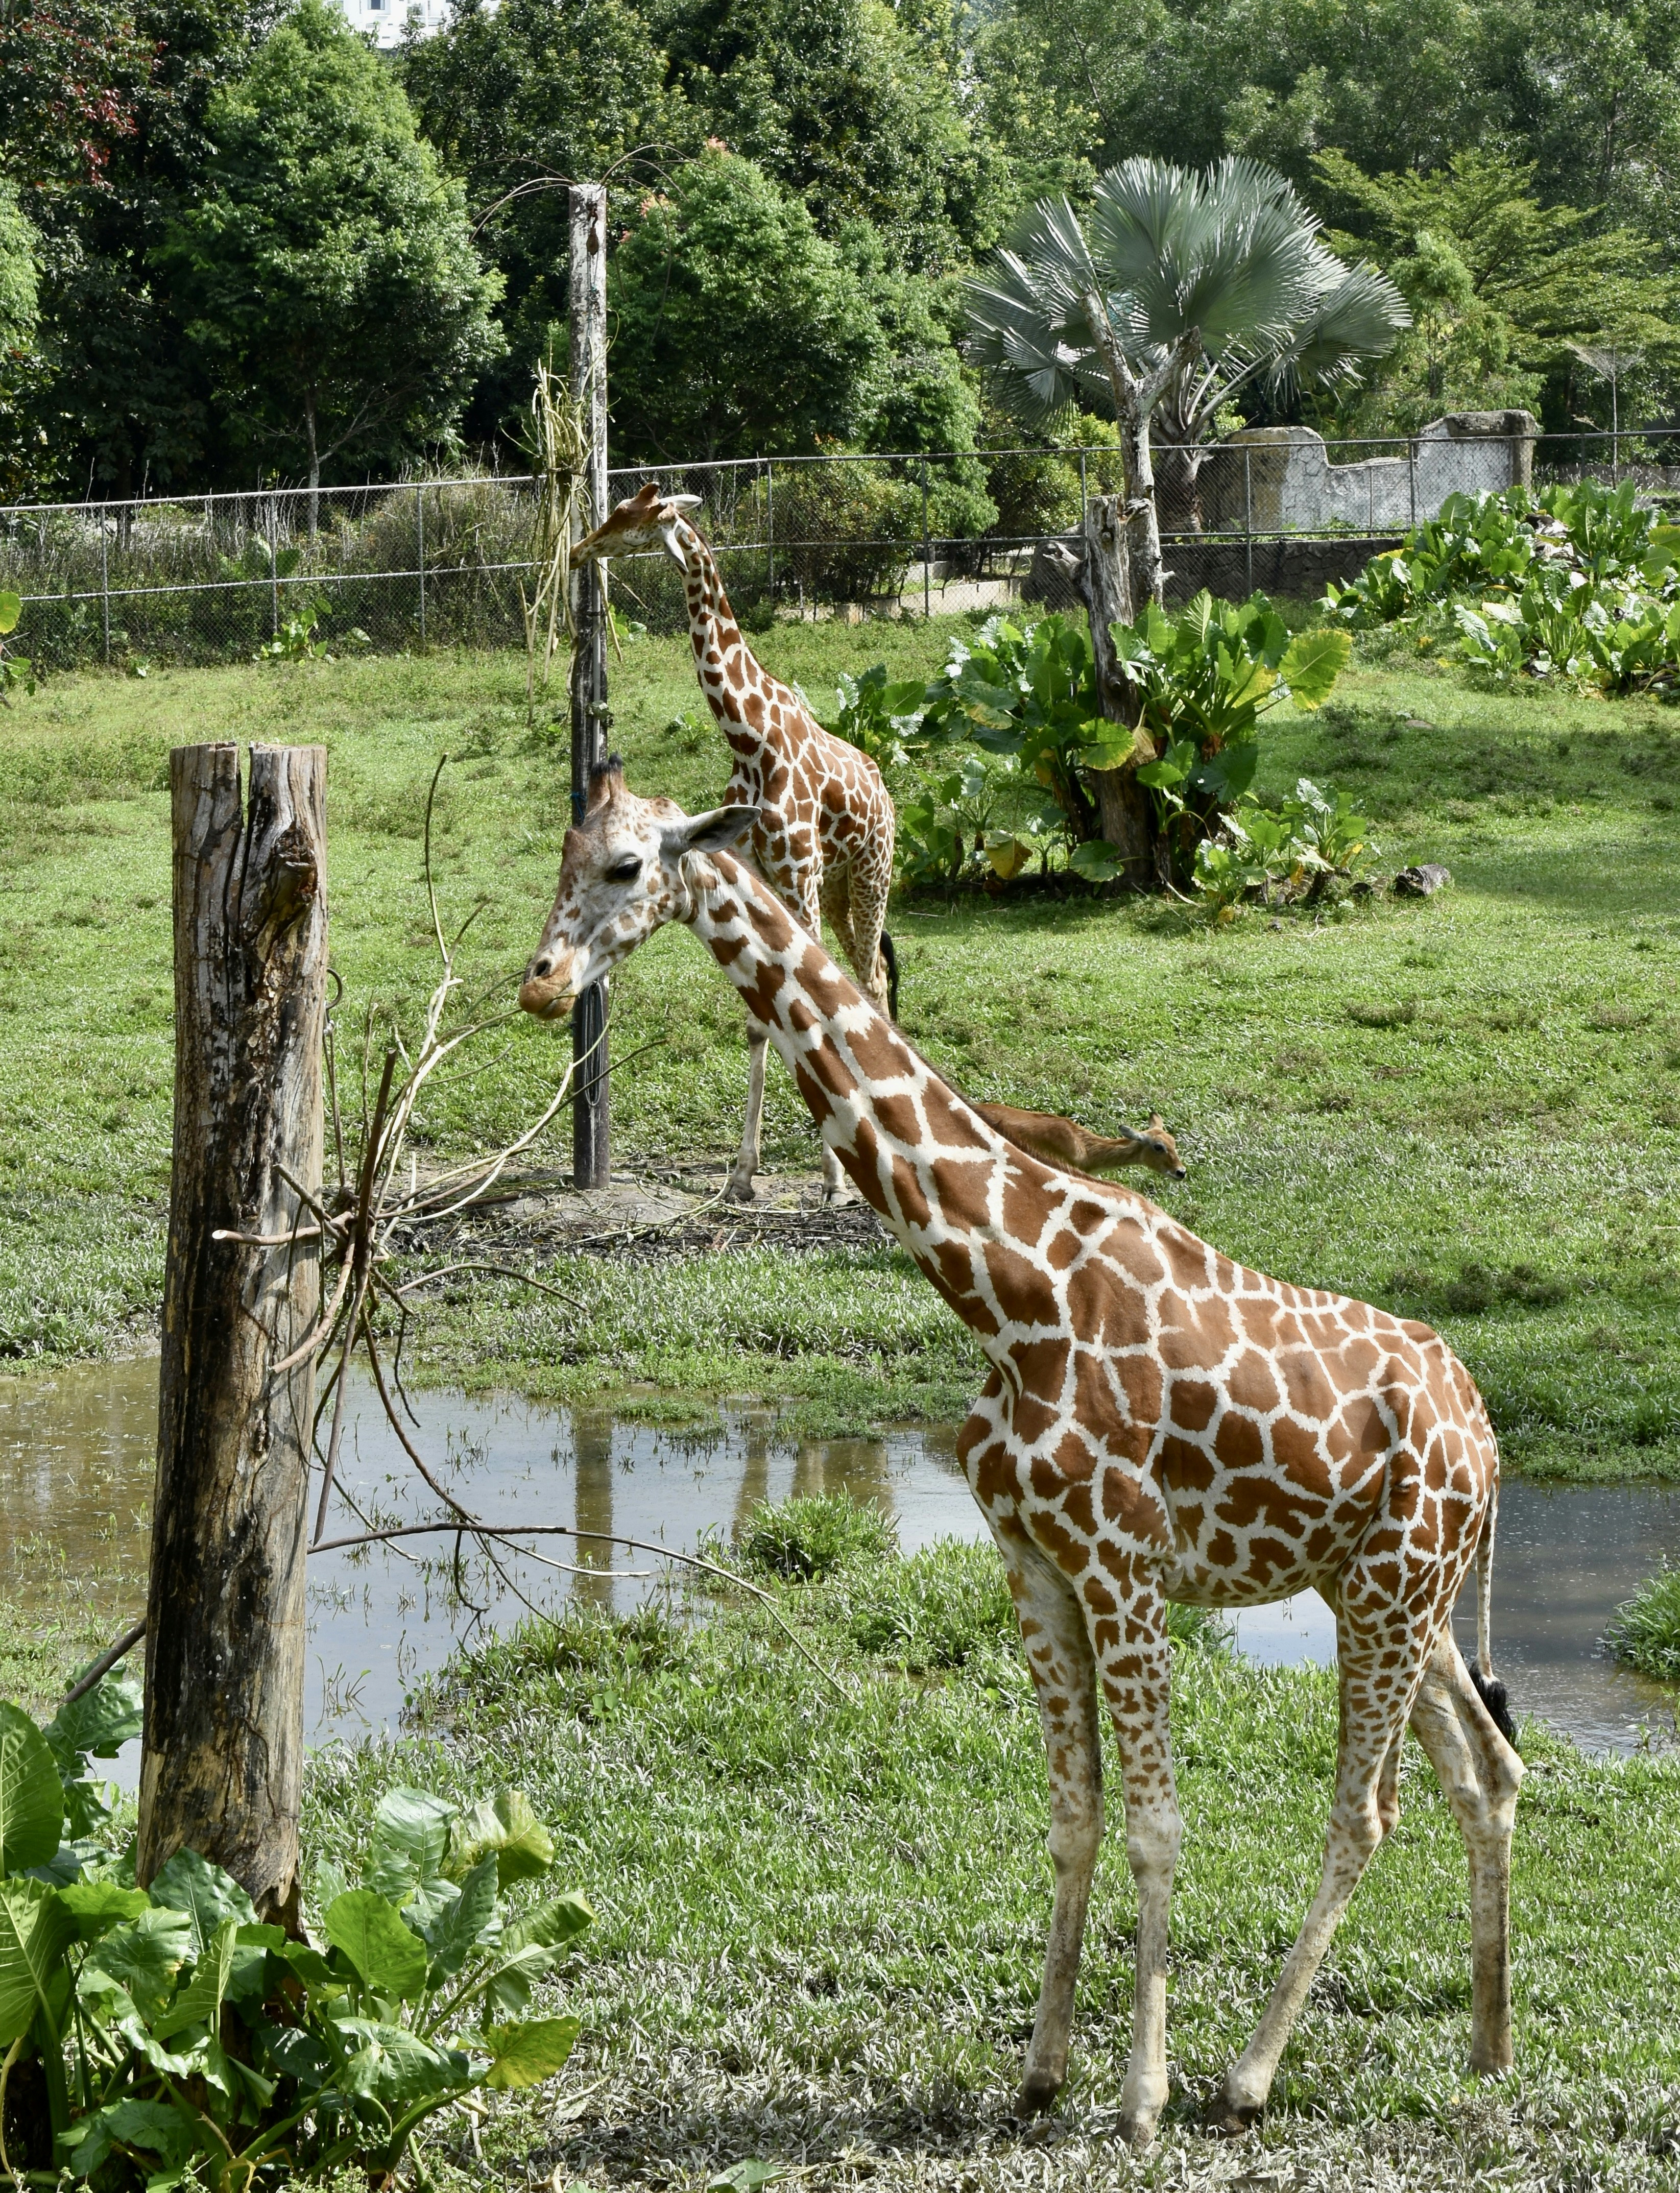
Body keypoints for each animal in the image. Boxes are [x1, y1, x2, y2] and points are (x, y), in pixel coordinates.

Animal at [518, 764, 1524, 2148]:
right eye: (561, 852)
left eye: (625, 867)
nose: (541, 982)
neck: (1005, 1287)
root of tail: (1485, 1432)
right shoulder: (1030, 1560)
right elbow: (1072, 1816)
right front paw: (1039, 2071)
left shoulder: (1124, 1565)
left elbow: (1156, 1823)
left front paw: (1141, 2093)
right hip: (1381, 1588)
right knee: (1488, 1769)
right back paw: (1487, 2048)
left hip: (1392, 1590)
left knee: (1366, 1807)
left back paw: (1246, 2077)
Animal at [572, 479, 898, 1206]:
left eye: (631, 514)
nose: (580, 548)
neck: (749, 734)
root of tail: (886, 791)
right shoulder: (754, 871)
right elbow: (761, 1019)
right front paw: (743, 1173)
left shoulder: (798, 875)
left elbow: (806, 1008)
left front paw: (834, 1177)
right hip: (840, 890)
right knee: (872, 976)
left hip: (869, 875)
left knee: (870, 978)